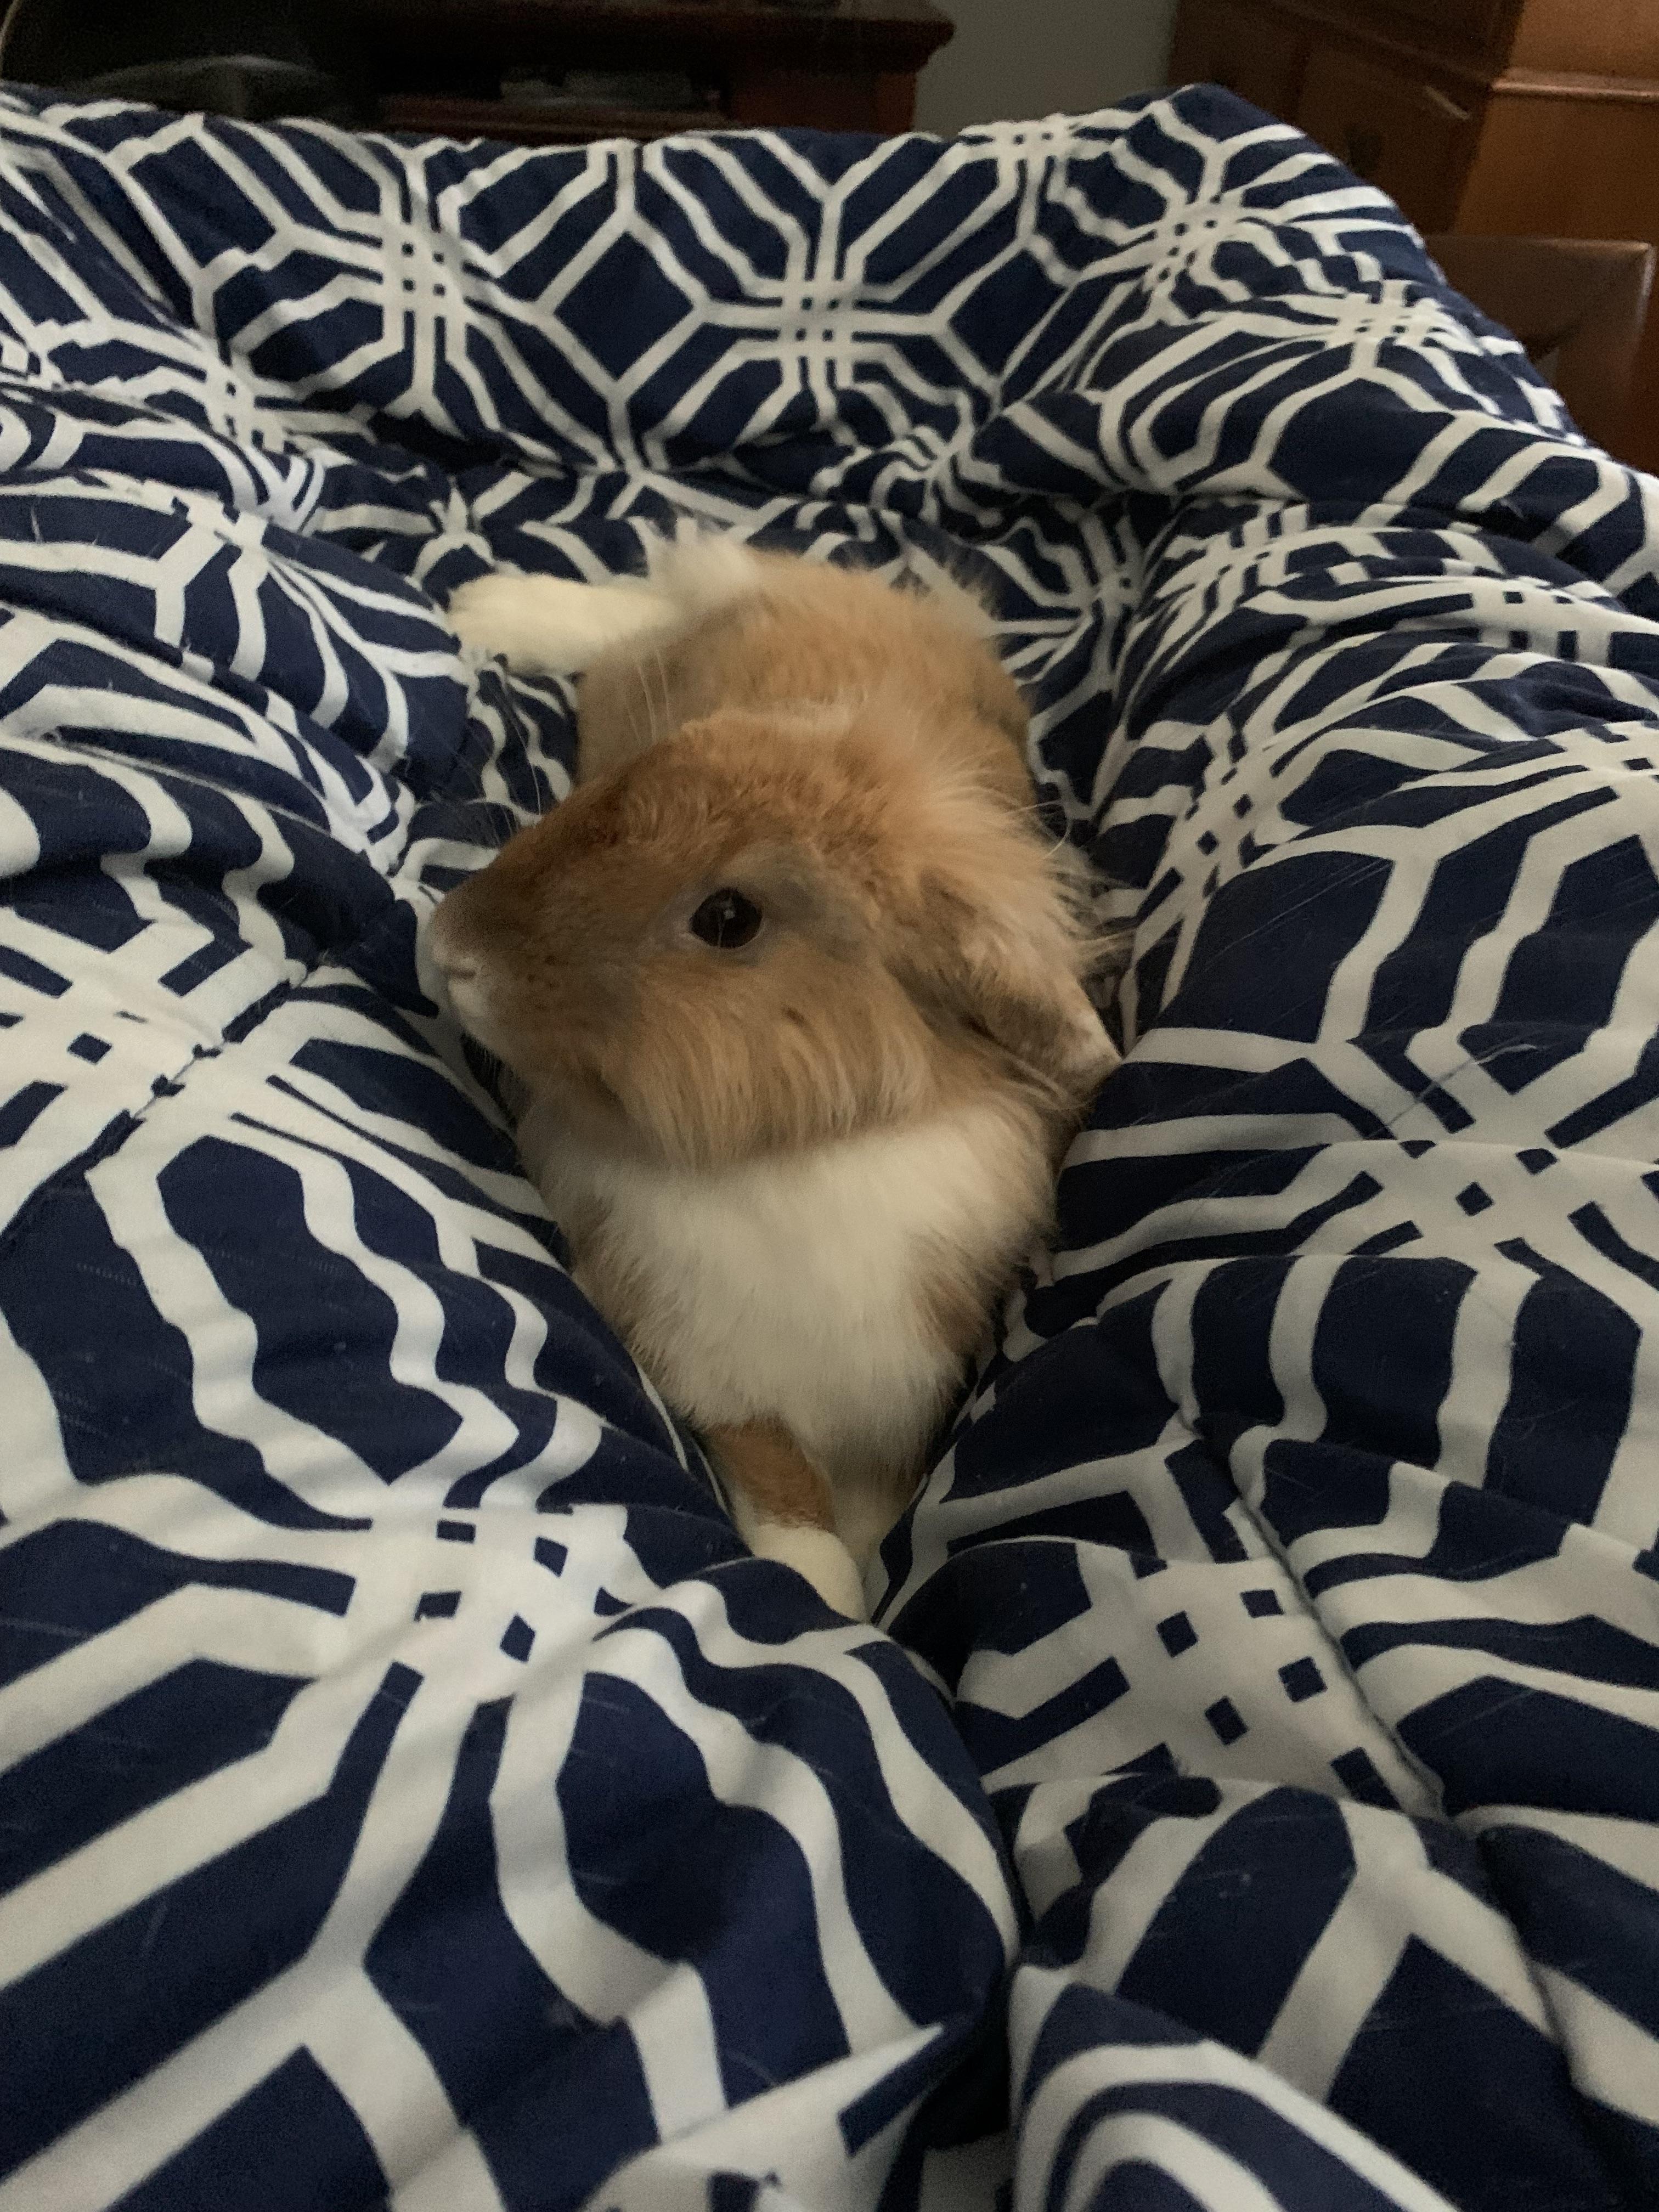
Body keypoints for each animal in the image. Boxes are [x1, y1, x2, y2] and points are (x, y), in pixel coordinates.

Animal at [431, 538, 1120, 1617]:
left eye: (728, 918)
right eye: (620, 786)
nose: (448, 945)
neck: (794, 1159)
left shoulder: (901, 1397)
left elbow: (870, 1513)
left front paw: (856, 1592)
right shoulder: (706, 1365)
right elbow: (782, 1485)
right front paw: (819, 1598)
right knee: (639, 613)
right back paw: (491, 609)